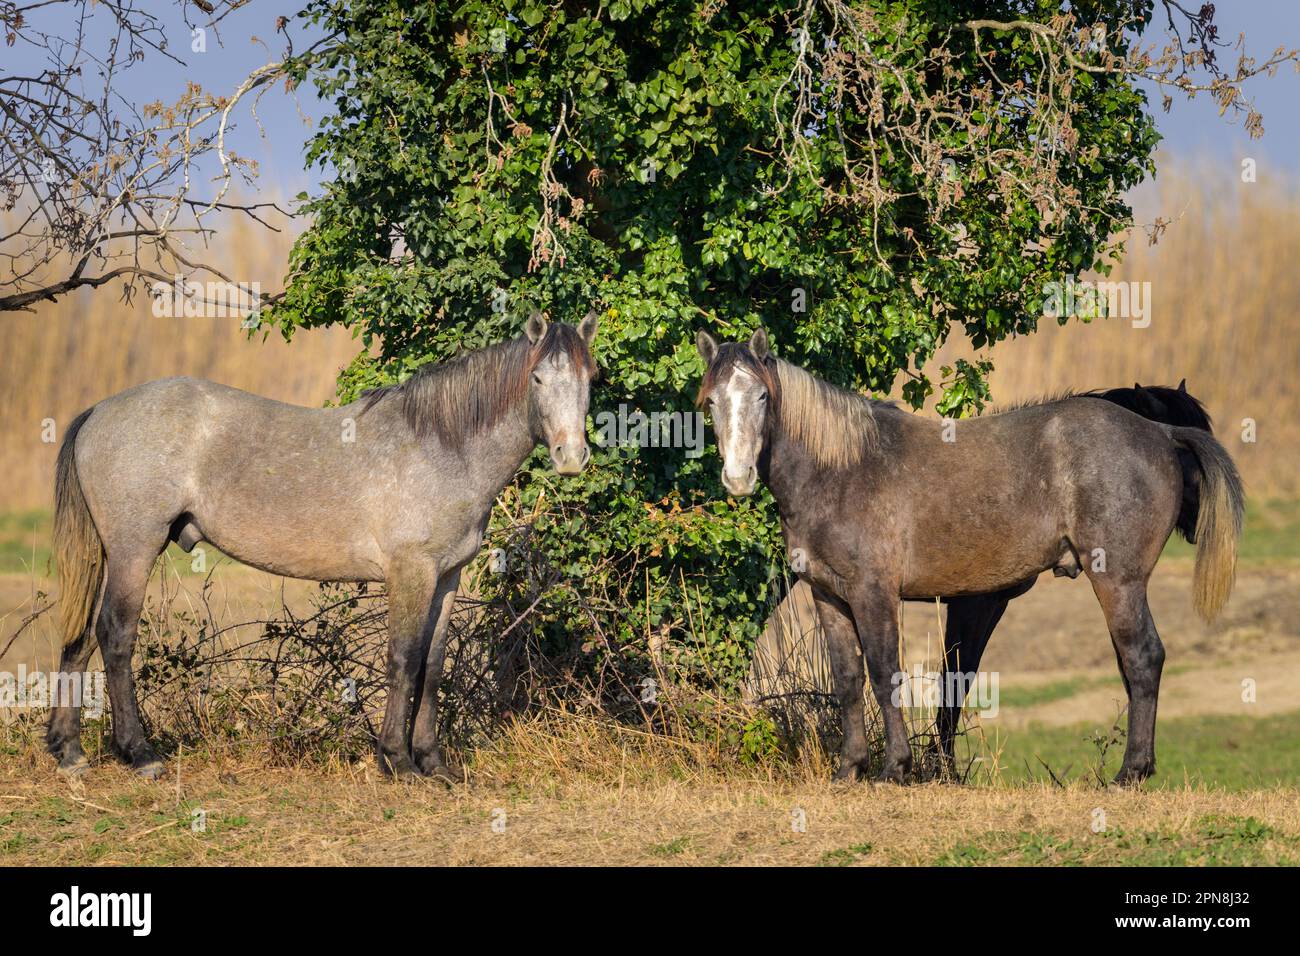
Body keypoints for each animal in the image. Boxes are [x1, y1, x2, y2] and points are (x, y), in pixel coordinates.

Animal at [48, 312, 598, 781]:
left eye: (589, 380)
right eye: (537, 380)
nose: (570, 457)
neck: (442, 446)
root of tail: (99, 410)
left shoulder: (446, 577)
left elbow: (433, 666)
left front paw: (433, 763)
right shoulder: (411, 572)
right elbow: (403, 660)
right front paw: (397, 762)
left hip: (109, 553)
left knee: (80, 637)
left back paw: (69, 751)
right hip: (134, 550)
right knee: (115, 635)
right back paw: (139, 754)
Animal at [696, 328, 1243, 785]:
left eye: (763, 396)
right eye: (712, 402)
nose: (738, 477)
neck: (842, 470)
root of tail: (1158, 433)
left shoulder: (877, 593)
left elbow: (887, 672)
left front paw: (896, 769)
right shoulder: (830, 596)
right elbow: (850, 679)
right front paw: (850, 769)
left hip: (1119, 582)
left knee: (1143, 657)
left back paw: (1130, 773)